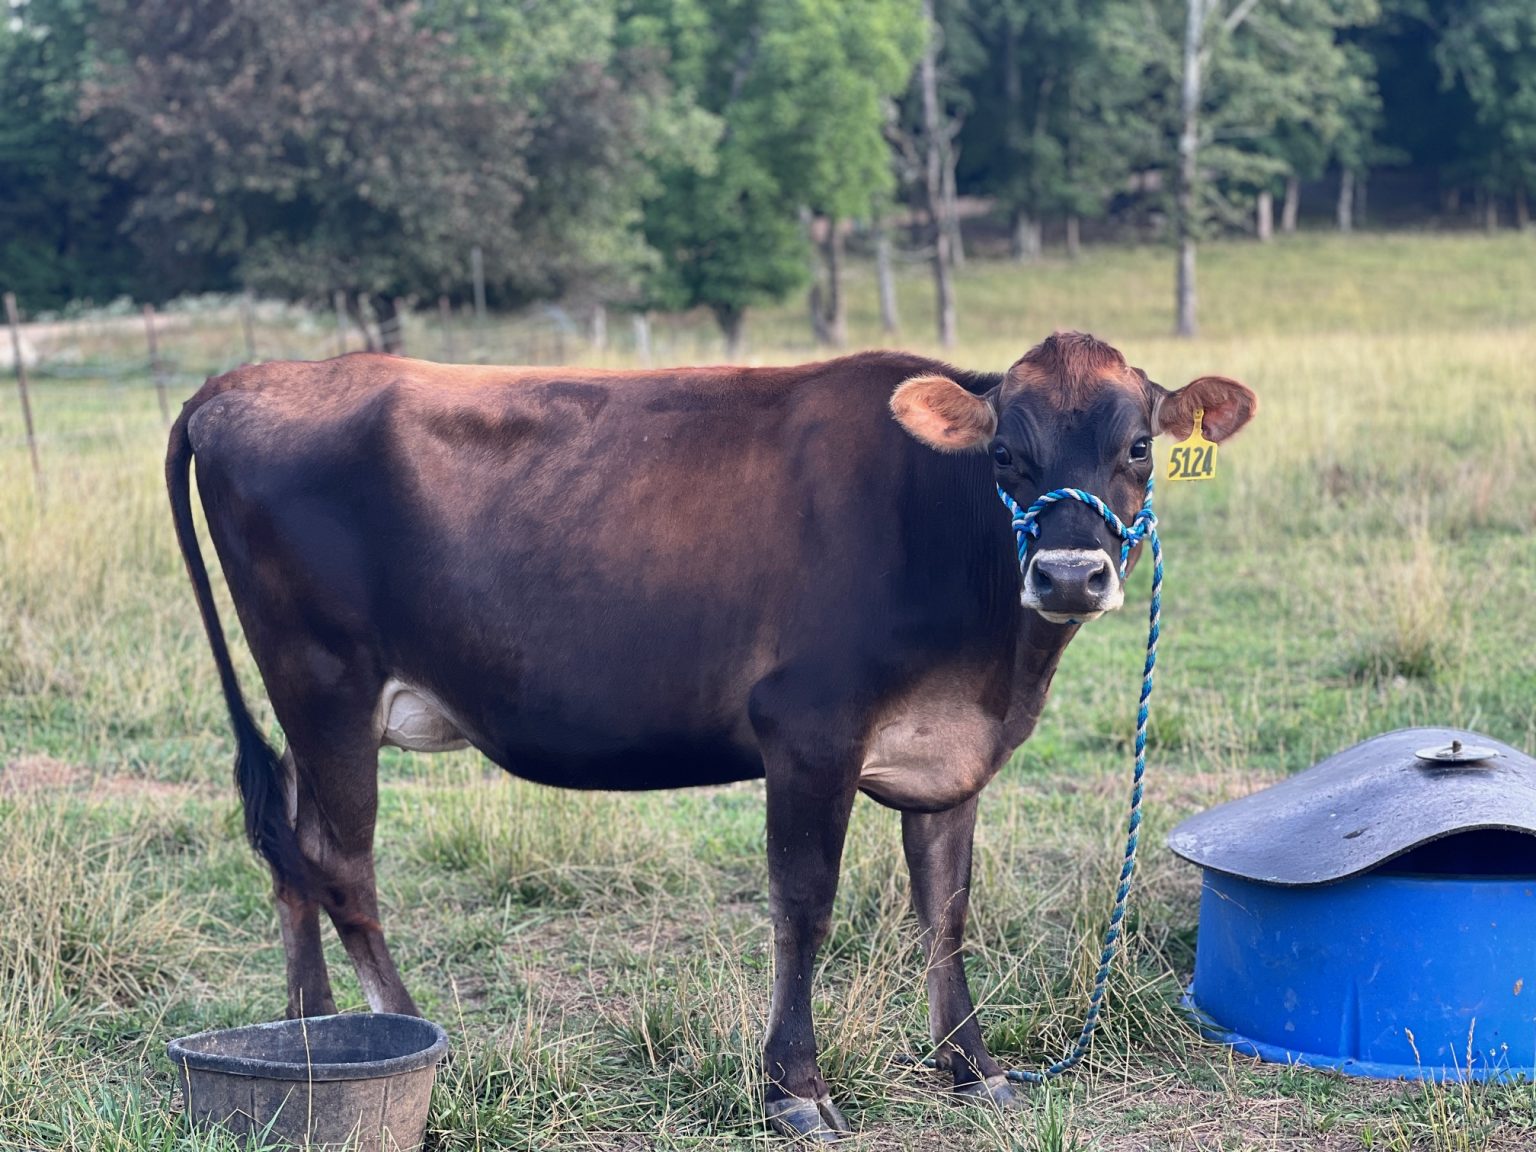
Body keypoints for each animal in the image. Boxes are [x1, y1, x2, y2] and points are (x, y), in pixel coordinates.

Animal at [166, 332, 1254, 1140]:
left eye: (1139, 447)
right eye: (1003, 455)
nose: (1070, 576)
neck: (997, 667)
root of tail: (246, 379)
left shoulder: (950, 756)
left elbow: (946, 908)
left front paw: (972, 1066)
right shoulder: (808, 728)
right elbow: (803, 906)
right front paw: (796, 1089)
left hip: (306, 705)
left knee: (293, 851)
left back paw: (313, 1029)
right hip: (325, 681)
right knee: (340, 864)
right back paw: (404, 1032)